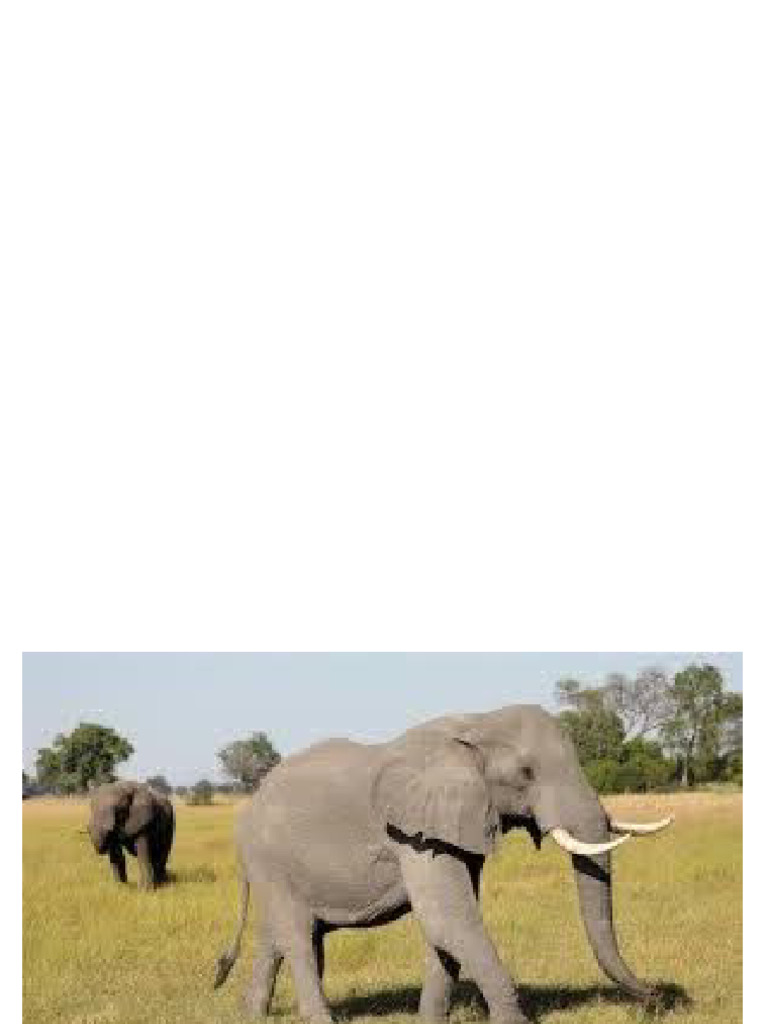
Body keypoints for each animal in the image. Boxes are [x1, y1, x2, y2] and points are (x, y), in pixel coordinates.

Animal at [214, 704, 673, 1024]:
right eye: (526, 772)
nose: (655, 999)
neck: (478, 722)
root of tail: (248, 807)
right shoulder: (413, 832)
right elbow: (448, 920)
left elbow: (448, 928)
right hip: (268, 859)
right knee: (296, 937)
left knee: (283, 937)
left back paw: (251, 1016)